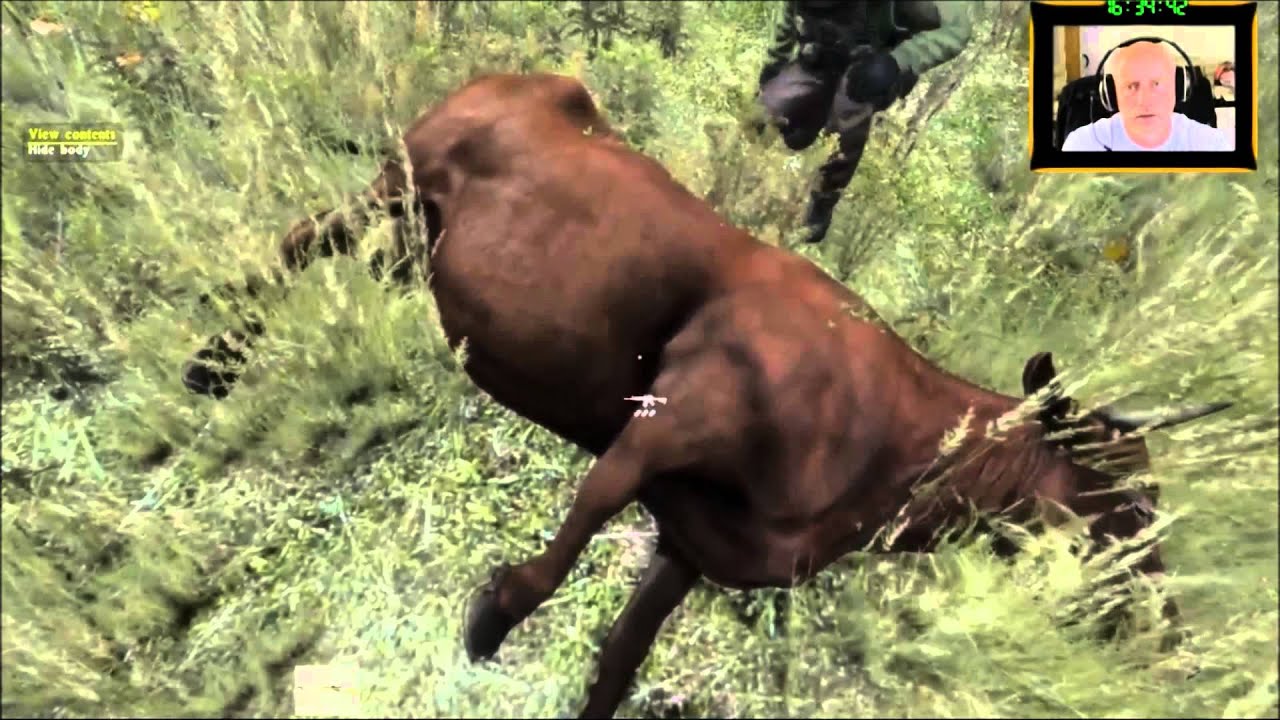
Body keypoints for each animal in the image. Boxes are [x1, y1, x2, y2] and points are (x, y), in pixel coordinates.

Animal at [180, 72, 1231, 719]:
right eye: (1127, 498)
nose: (1173, 633)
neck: (883, 453)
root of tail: (539, 82)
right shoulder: (673, 414)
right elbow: (585, 516)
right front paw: (493, 615)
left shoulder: (695, 547)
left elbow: (620, 660)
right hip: (399, 177)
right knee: (295, 240)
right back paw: (209, 365)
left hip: (416, 237)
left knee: (331, 254)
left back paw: (218, 364)